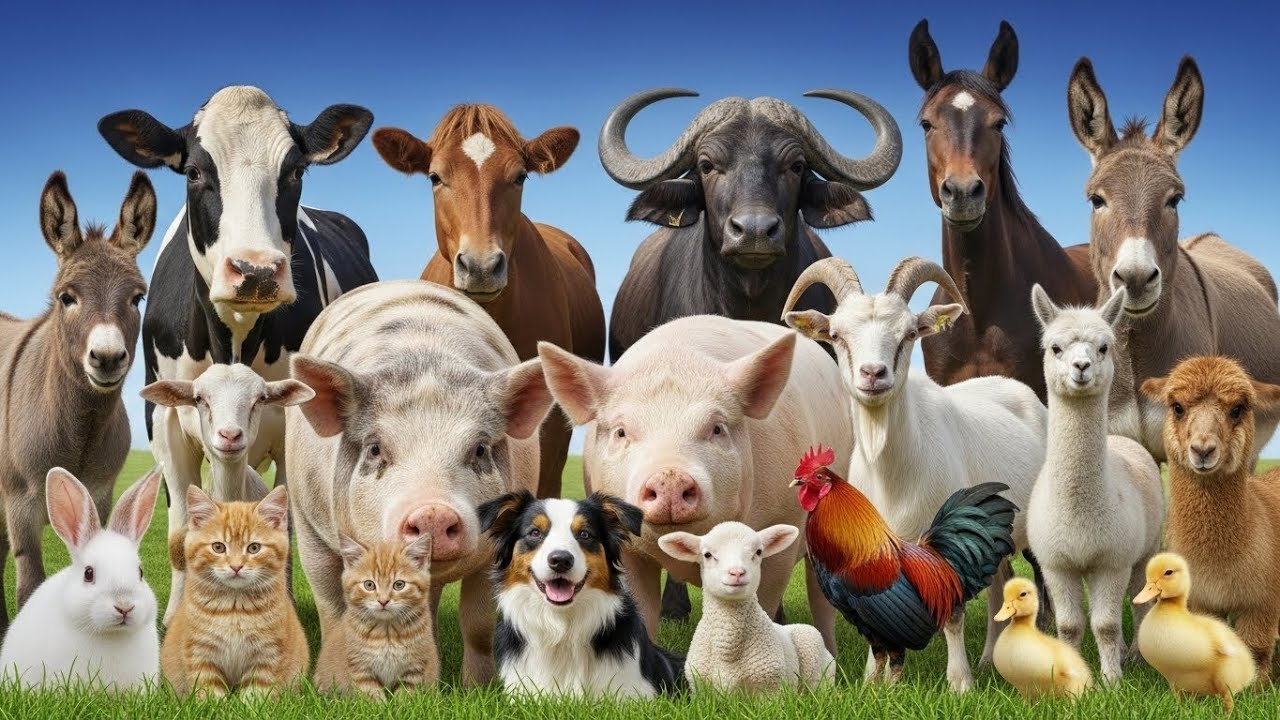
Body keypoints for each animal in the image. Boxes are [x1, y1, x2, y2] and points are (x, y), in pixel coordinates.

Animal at [97, 85, 378, 623]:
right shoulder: (162, 416)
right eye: (193, 171)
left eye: (296, 171)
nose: (256, 271)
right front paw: (175, 617)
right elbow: (181, 533)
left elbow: (282, 529)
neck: (234, 340)